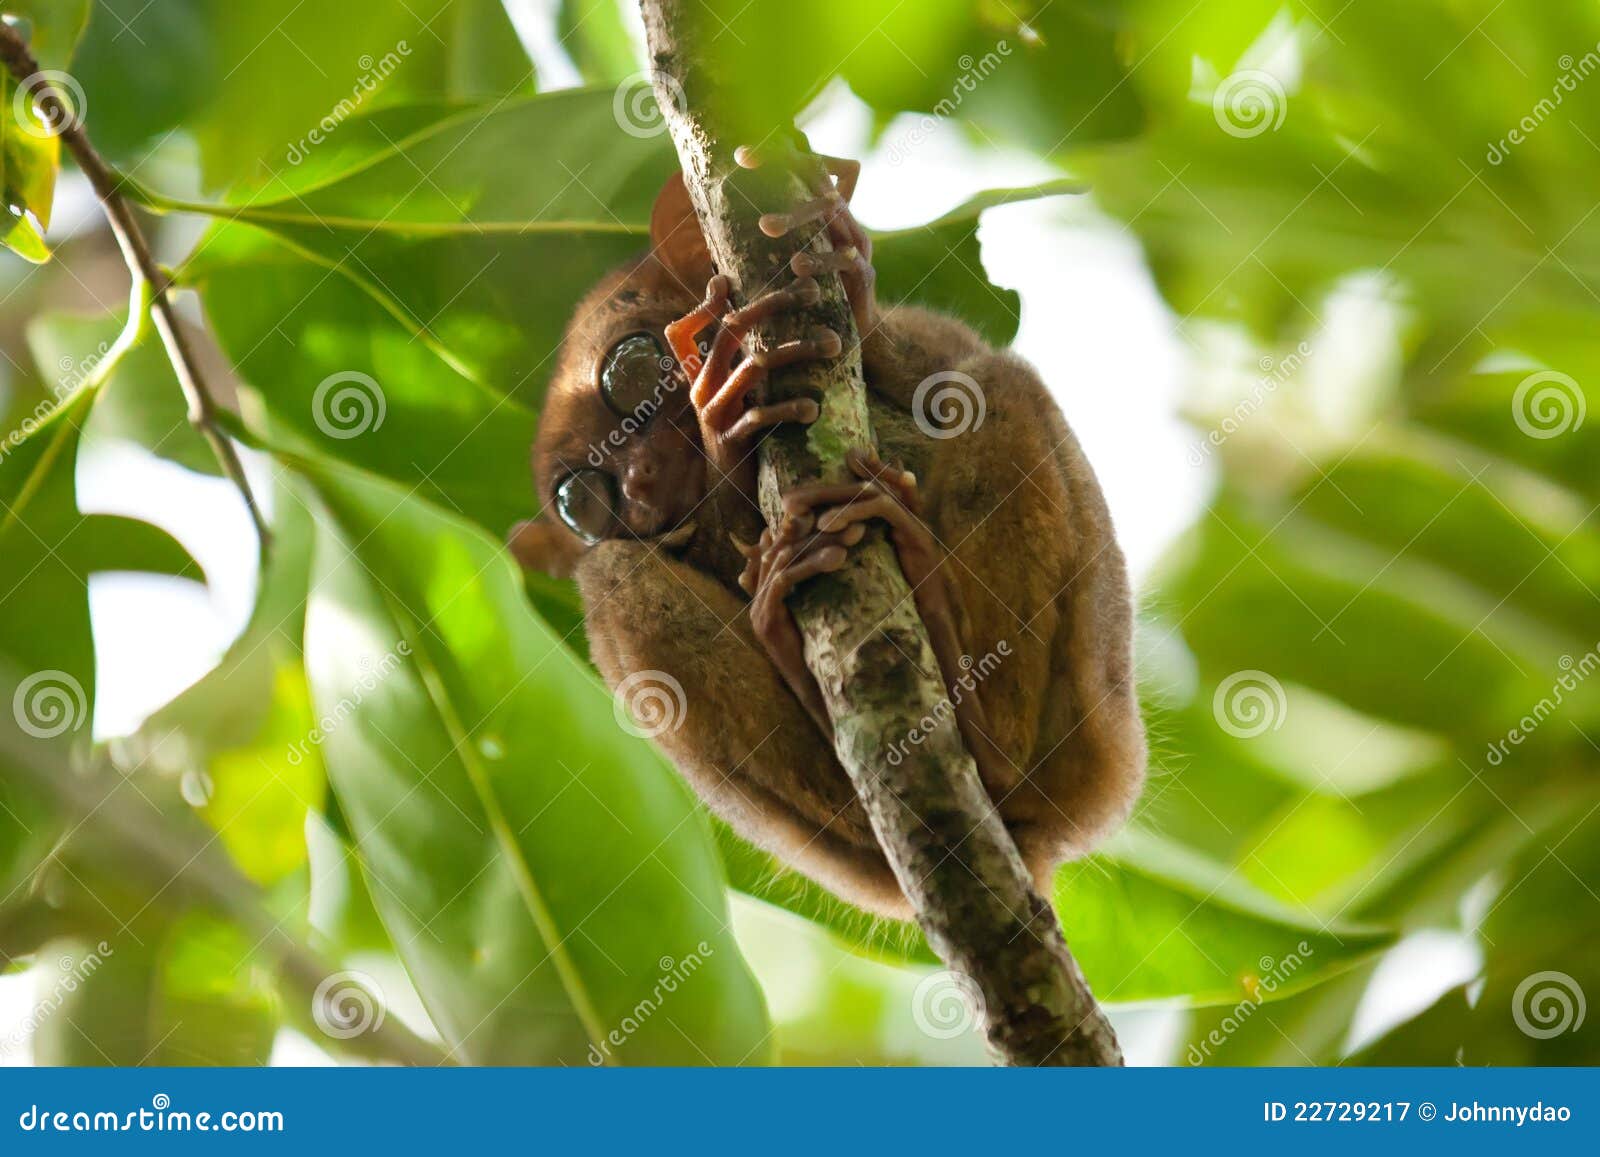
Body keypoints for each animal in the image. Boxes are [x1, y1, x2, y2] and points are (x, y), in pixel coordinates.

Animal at [510, 146, 1145, 919]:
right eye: (579, 501)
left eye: (629, 369)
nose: (635, 487)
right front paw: (723, 434)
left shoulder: (930, 333)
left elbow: (944, 377)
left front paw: (845, 261)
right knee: (612, 578)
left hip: (1093, 708)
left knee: (1002, 385)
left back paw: (986, 728)